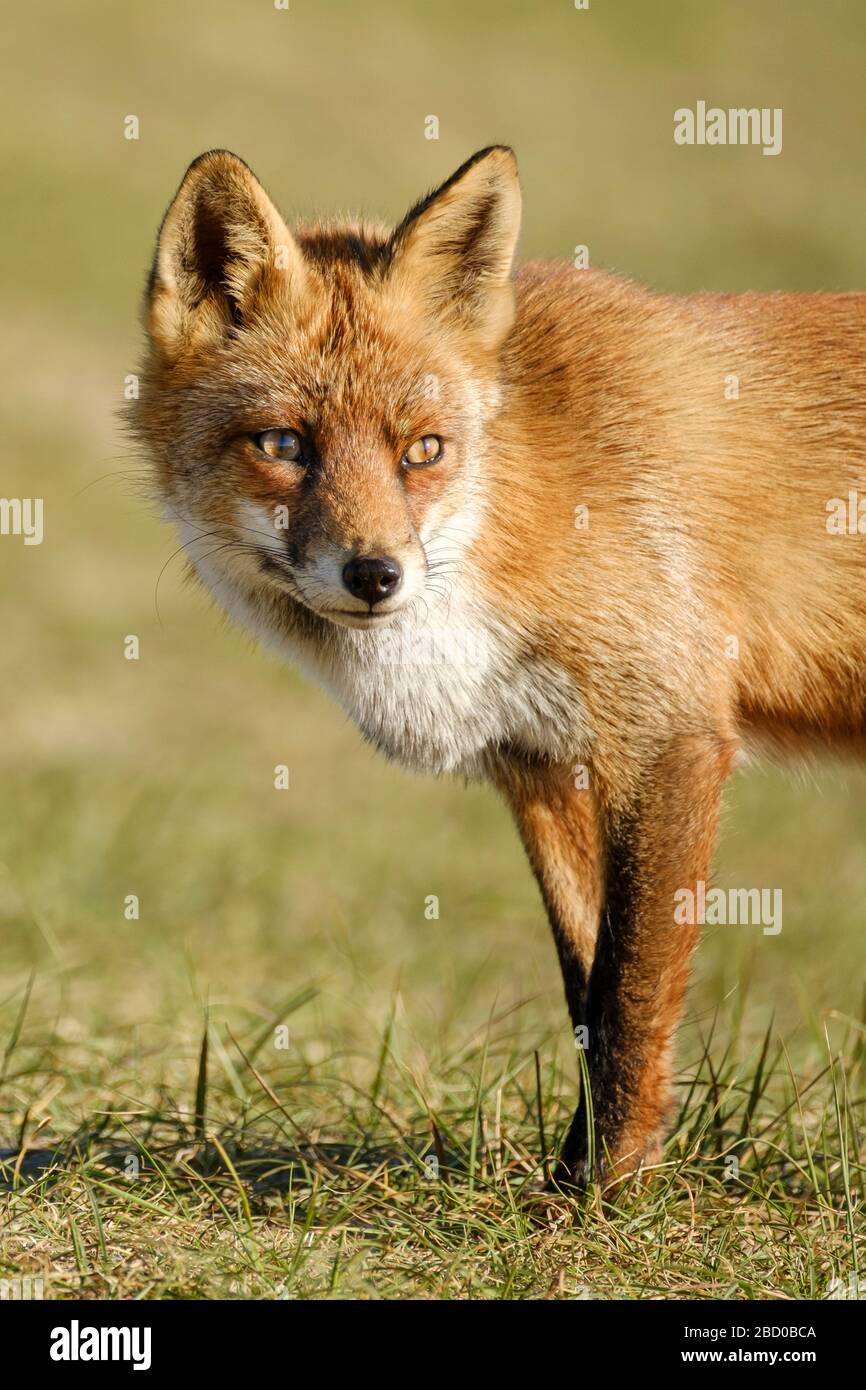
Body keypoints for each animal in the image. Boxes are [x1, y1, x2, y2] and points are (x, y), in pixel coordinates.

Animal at [131, 145, 866, 1189]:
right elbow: (586, 995)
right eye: (284, 445)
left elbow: (632, 998)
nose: (375, 574)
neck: (515, 516)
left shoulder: (669, 735)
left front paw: (606, 1196)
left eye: (423, 450)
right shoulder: (543, 763)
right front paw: (577, 1173)